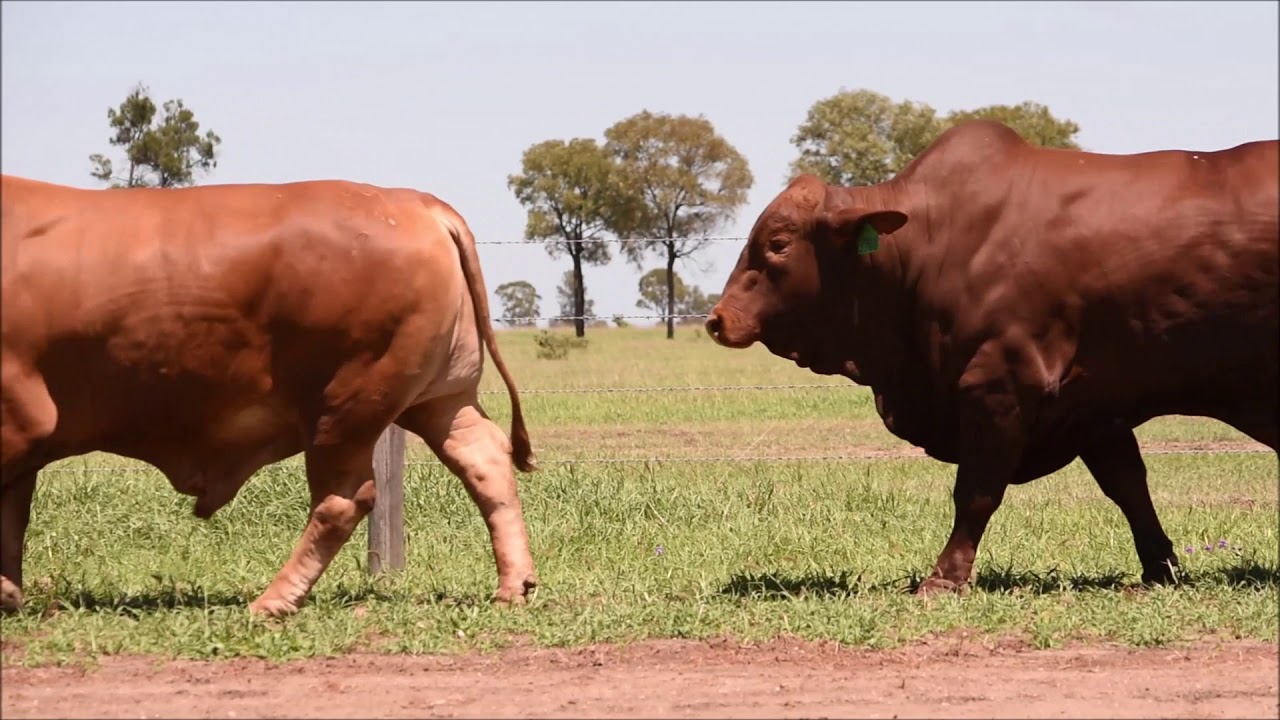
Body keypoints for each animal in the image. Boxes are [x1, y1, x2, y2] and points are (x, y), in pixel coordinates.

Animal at [1, 175, 540, 616]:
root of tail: (412, 202)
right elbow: (13, 513)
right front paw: (9, 593)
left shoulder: (21, 417)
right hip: (440, 398)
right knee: (483, 458)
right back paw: (514, 585)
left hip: (344, 408)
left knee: (342, 500)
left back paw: (274, 600)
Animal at [704, 120, 1278, 595]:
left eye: (779, 242)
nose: (717, 319)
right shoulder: (1094, 407)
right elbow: (1128, 488)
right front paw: (1161, 569)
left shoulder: (998, 384)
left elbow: (977, 492)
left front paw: (944, 579)